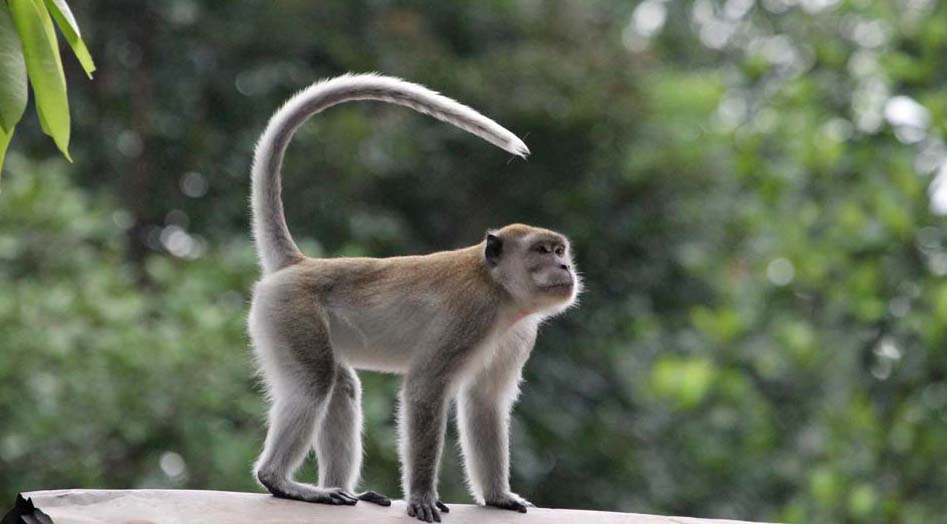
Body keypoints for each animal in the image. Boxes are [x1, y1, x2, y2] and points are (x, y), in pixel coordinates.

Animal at [248, 73, 581, 523]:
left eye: (560, 251)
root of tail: (299, 265)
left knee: (340, 386)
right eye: (542, 252)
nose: (565, 268)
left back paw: (339, 487)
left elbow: (485, 402)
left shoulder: (518, 333)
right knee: (315, 381)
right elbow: (425, 389)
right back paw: (280, 480)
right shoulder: (468, 315)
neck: (498, 291)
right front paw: (422, 495)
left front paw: (498, 496)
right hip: (289, 312)